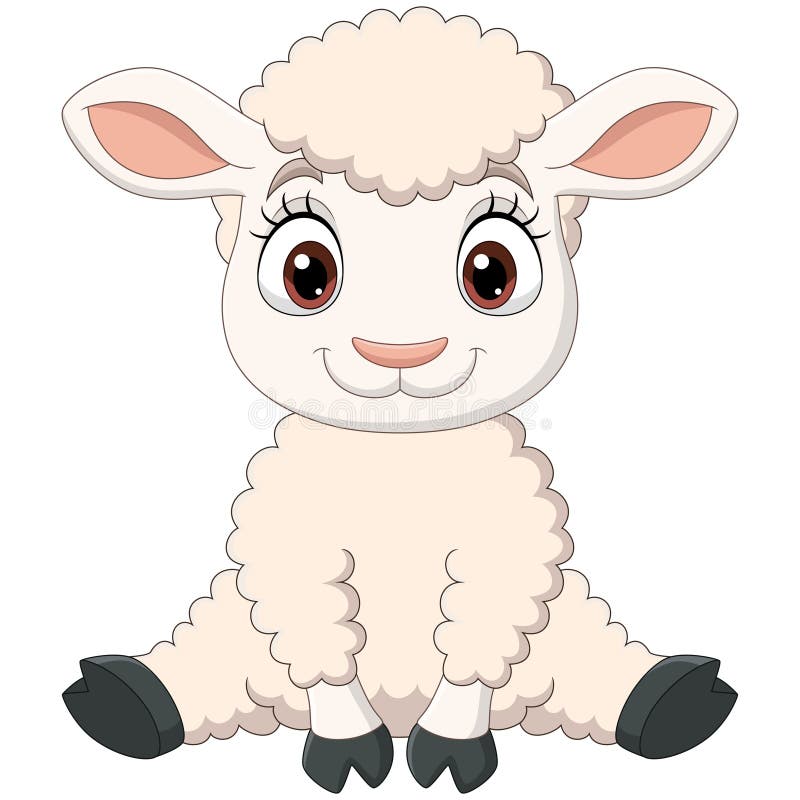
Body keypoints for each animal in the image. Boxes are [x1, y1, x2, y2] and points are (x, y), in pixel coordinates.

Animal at [61, 6, 738, 793]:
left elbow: (480, 628)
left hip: (561, 632)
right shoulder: (289, 547)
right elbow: (319, 630)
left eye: (492, 272)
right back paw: (125, 698)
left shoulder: (508, 548)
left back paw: (674, 698)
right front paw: (350, 749)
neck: (398, 450)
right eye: (306, 272)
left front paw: (448, 750)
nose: (399, 352)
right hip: (239, 631)